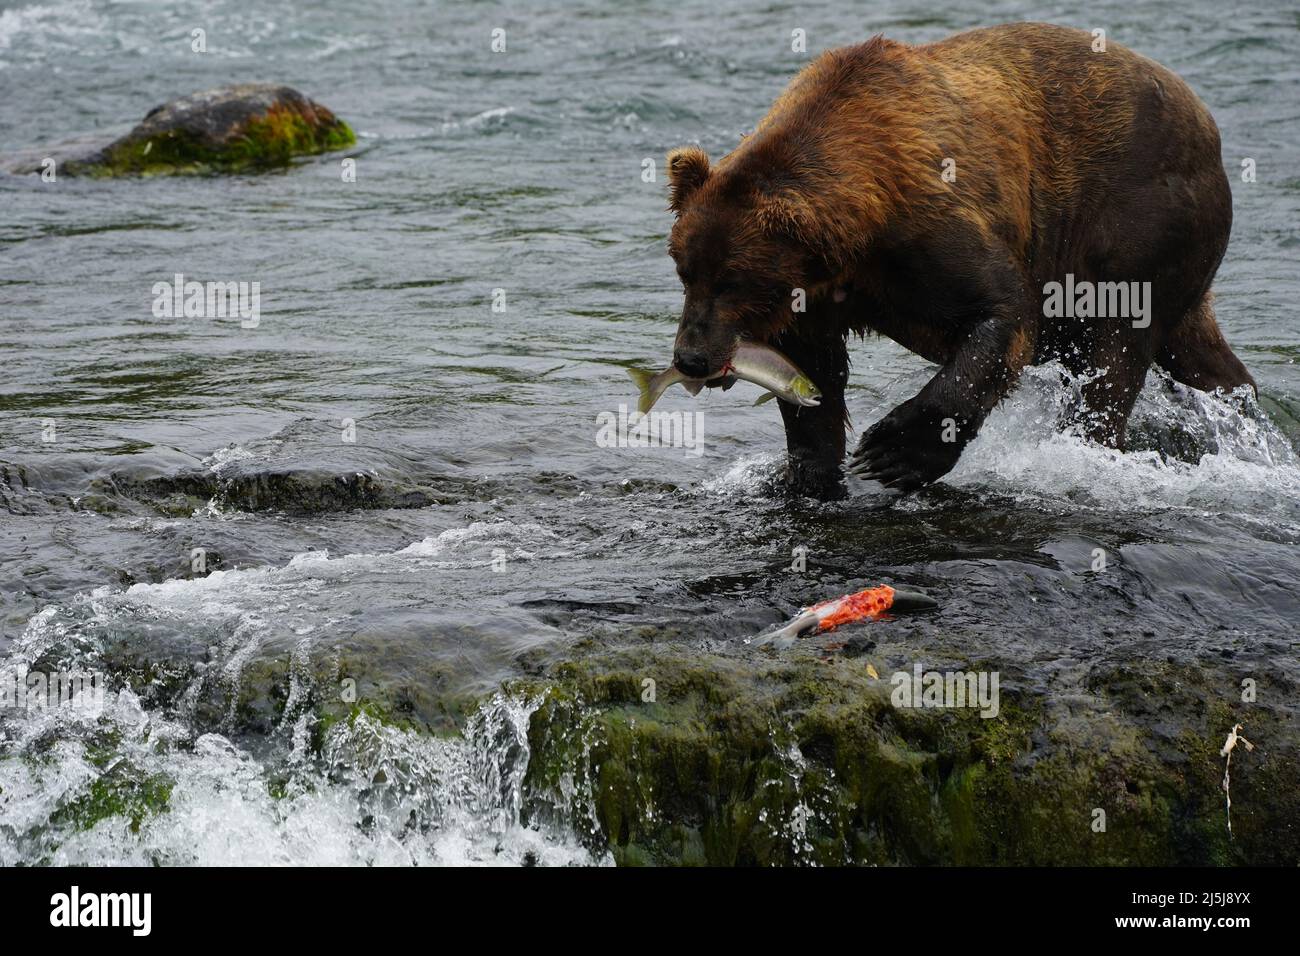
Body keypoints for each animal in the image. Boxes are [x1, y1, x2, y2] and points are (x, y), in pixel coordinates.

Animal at [663, 22, 1255, 498]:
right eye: (685, 272)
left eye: (733, 280)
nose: (690, 355)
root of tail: (1208, 126)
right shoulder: (817, 294)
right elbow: (814, 374)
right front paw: (811, 473)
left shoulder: (926, 229)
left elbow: (1002, 311)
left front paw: (892, 453)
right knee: (1198, 355)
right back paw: (1239, 416)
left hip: (1138, 223)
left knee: (1114, 353)